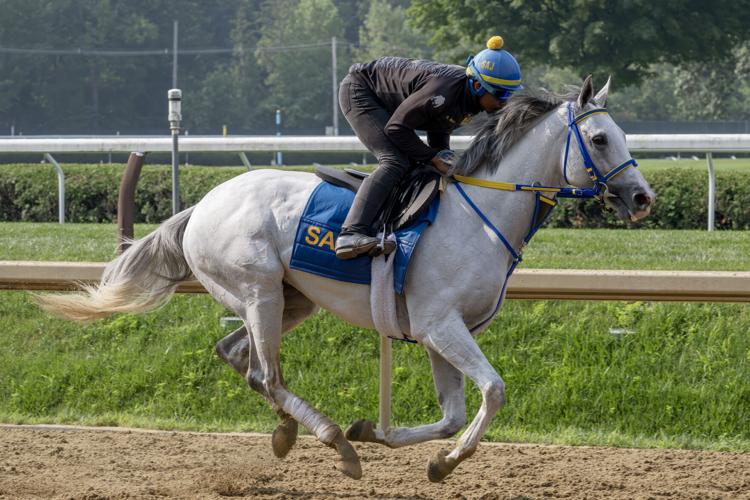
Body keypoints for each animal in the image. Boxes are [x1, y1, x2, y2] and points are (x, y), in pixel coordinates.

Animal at [38, 76, 654, 482]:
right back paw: (333, 441)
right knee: (267, 373)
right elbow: (494, 391)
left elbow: (451, 415)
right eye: (601, 139)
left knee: (237, 356)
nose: (643, 198)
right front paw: (443, 459)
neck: (481, 216)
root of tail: (201, 205)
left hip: (292, 299)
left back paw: (294, 432)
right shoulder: (440, 324)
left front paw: (396, 441)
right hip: (258, 290)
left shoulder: (442, 331)